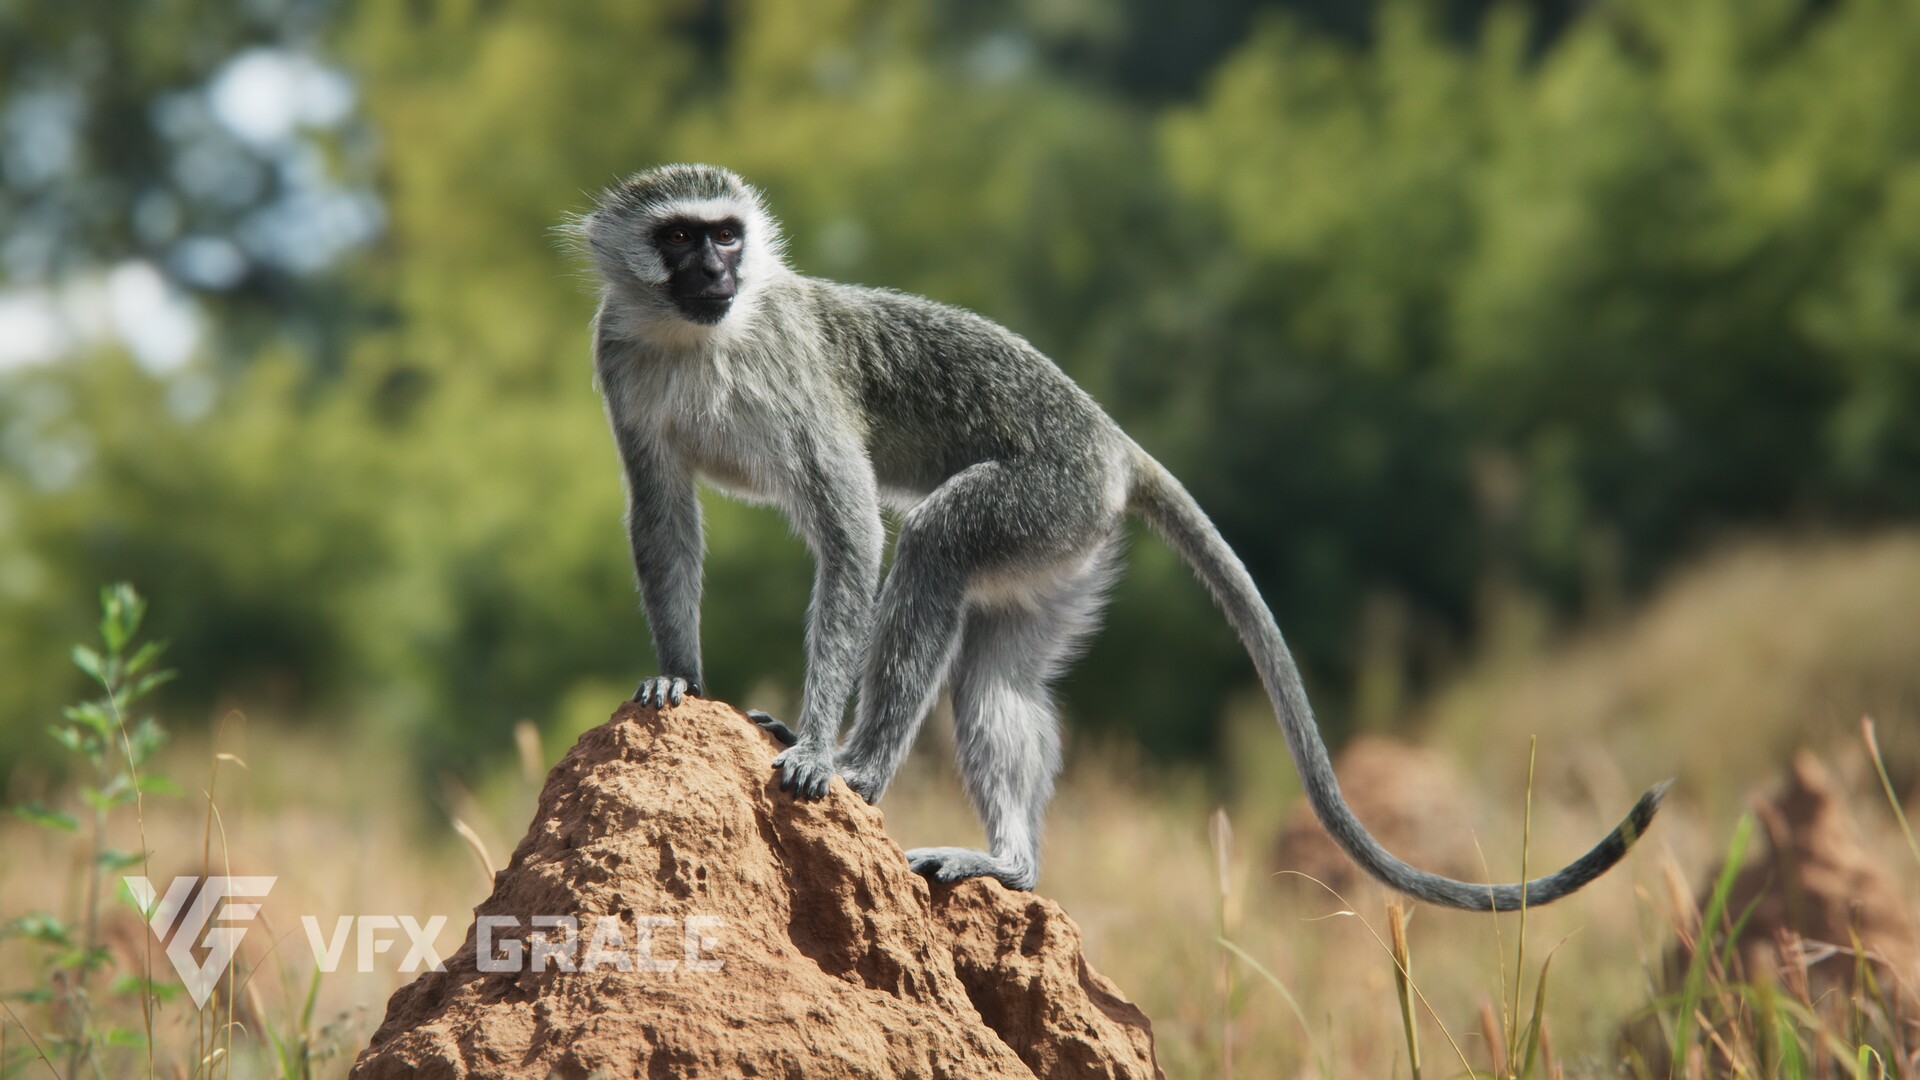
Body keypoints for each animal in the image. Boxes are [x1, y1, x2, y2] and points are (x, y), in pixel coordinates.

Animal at [576, 163, 1667, 907]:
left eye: (726, 237)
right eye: (683, 239)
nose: (719, 268)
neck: (698, 338)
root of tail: (1113, 441)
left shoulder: (786, 365)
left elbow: (848, 524)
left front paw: (812, 745)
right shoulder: (616, 354)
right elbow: (661, 512)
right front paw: (680, 677)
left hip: (1045, 496)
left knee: (933, 542)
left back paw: (866, 771)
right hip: (1066, 546)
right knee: (1000, 674)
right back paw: (1012, 862)